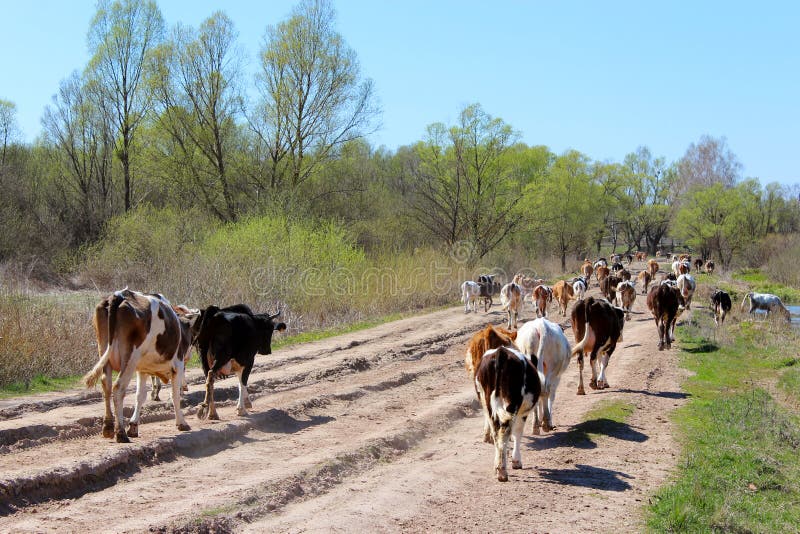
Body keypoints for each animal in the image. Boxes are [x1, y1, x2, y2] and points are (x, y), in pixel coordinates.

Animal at [83, 289, 192, 443]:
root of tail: (119, 296)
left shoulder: (142, 370)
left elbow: (140, 396)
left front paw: (133, 426)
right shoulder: (178, 365)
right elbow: (175, 395)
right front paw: (181, 423)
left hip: (104, 350)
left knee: (106, 385)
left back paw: (108, 428)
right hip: (130, 358)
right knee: (118, 388)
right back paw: (120, 433)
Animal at [474, 346, 542, 482]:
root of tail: (501, 352)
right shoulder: (522, 414)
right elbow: (518, 433)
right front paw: (516, 461)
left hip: (488, 403)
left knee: (496, 433)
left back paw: (498, 467)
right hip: (512, 403)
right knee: (504, 432)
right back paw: (502, 471)